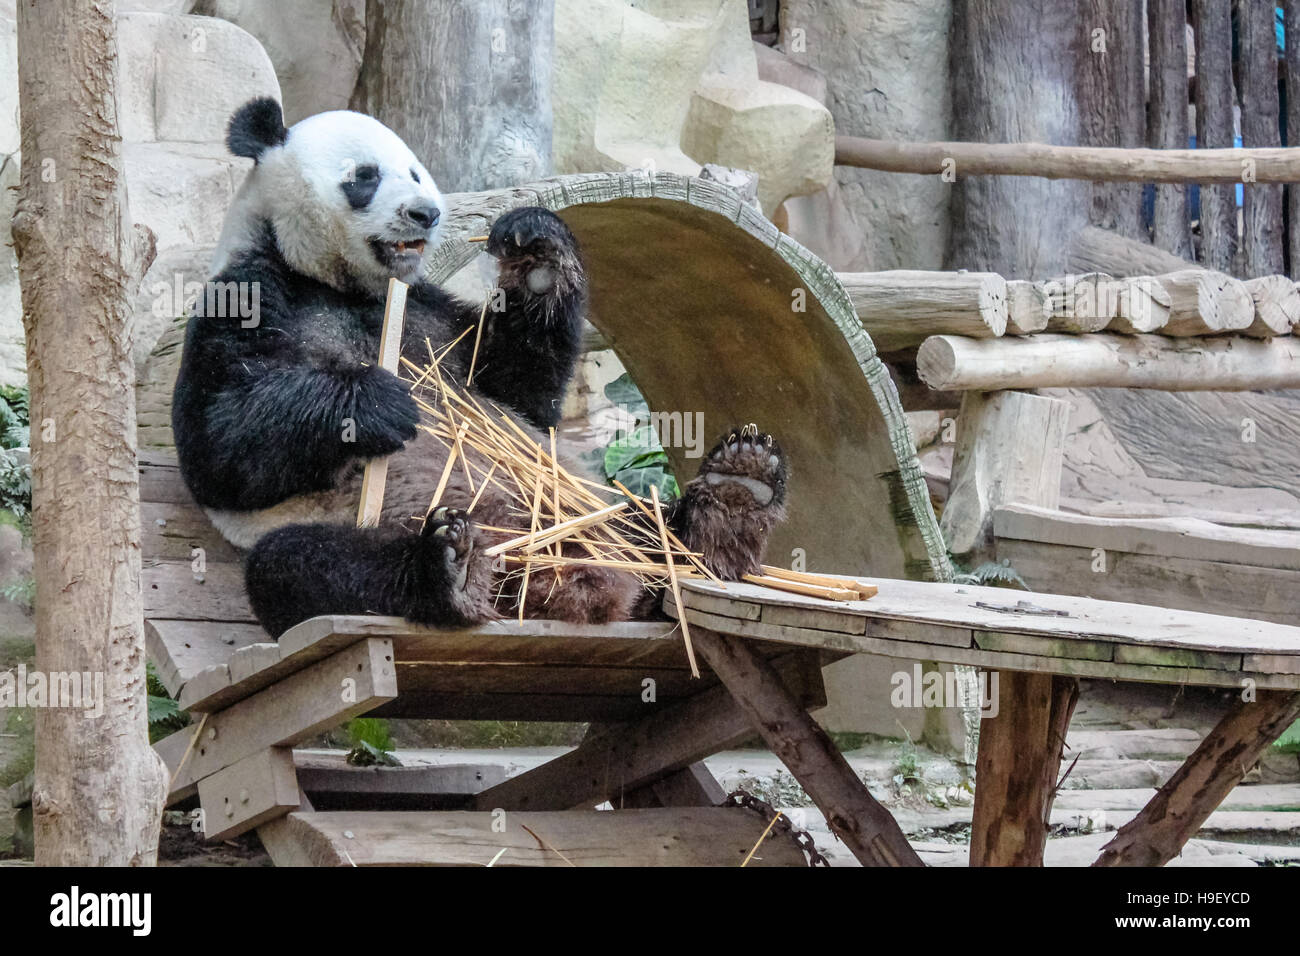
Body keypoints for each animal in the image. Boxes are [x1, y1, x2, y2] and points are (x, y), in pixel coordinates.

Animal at [172, 97, 790, 639]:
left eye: (416, 173)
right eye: (365, 176)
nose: (425, 212)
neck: (343, 286)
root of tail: (555, 587)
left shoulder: (434, 312)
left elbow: (520, 394)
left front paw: (539, 252)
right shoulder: (246, 297)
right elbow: (221, 444)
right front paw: (374, 403)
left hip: (587, 509)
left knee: (644, 522)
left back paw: (734, 497)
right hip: (356, 523)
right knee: (299, 565)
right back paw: (448, 568)